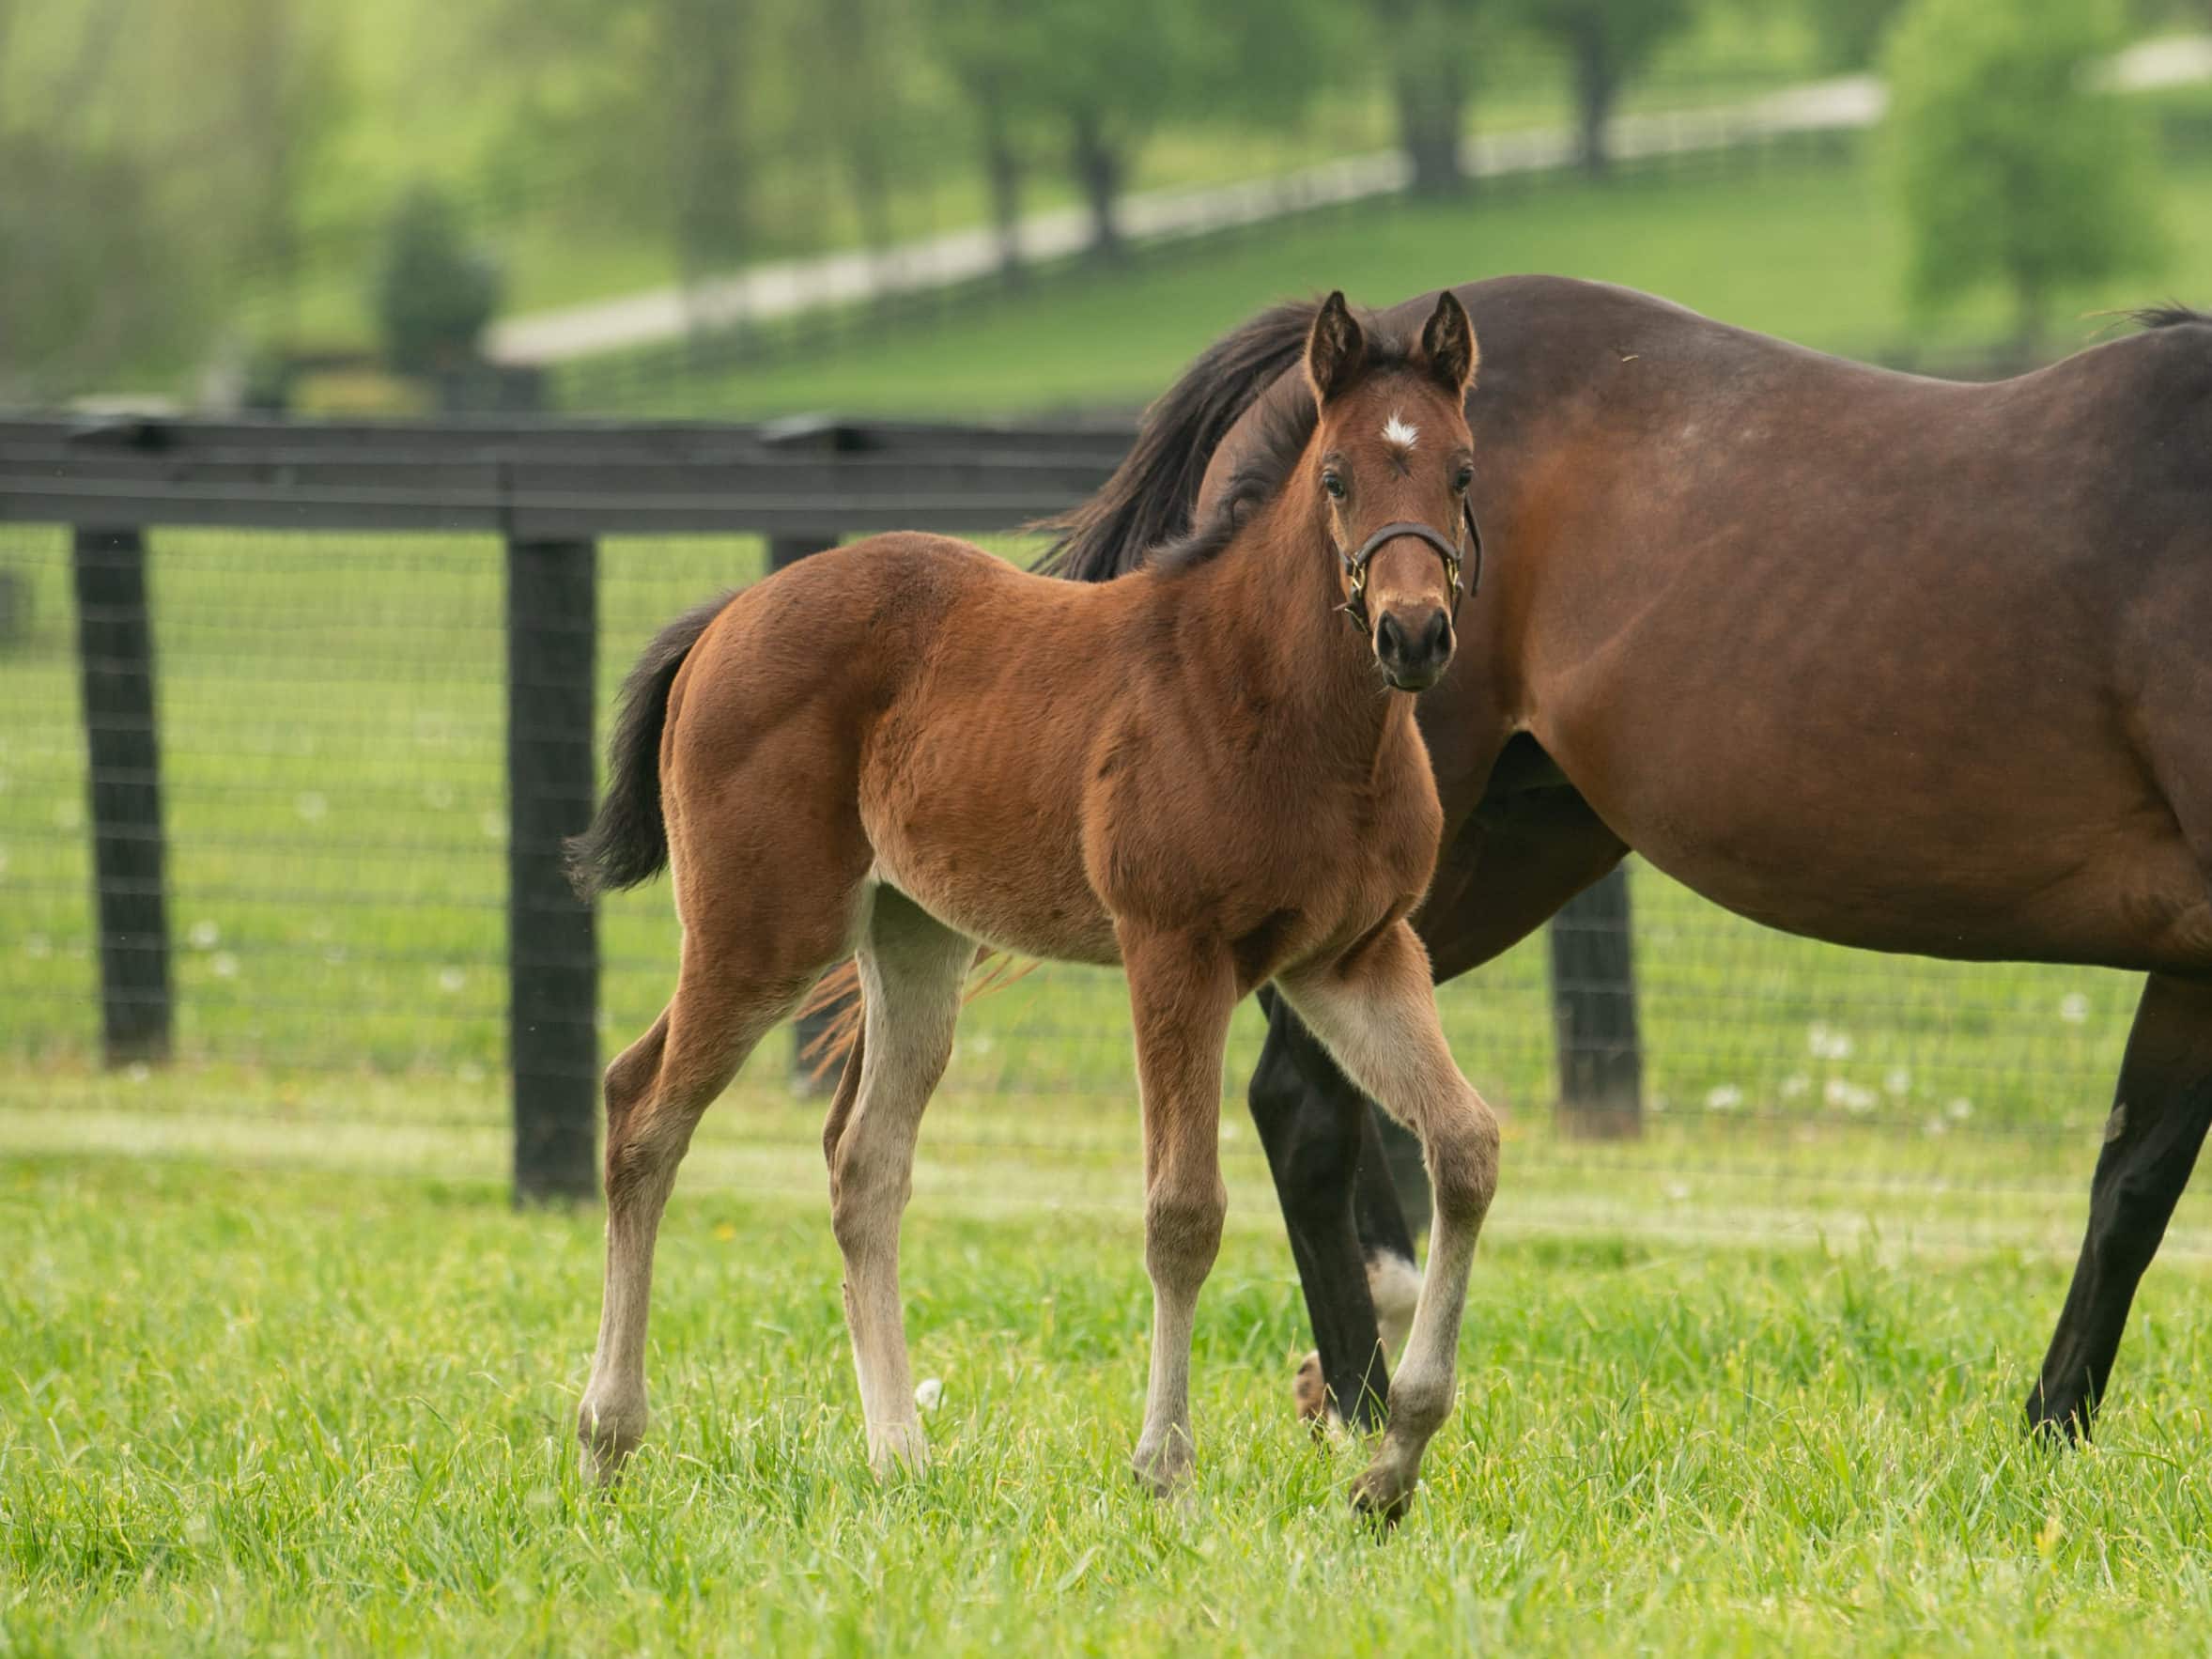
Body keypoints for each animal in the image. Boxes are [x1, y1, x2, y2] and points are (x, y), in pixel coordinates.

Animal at [563, 291, 1499, 1519]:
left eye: (1463, 470)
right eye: (1338, 475)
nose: (1414, 635)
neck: (1273, 695)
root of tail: (728, 614)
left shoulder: (1352, 956)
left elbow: (1465, 1146)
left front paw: (1395, 1461)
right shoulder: (1175, 951)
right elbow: (1183, 1210)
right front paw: (1164, 1467)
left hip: (913, 937)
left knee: (863, 1162)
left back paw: (899, 1451)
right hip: (762, 927)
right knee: (644, 1109)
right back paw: (608, 1437)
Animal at [1038, 276, 2212, 1440]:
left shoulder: (2189, 961)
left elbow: (2133, 1186)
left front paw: (2051, 1430)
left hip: (1500, 849)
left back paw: (1367, 1350)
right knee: (1303, 1103)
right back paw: (1367, 1404)